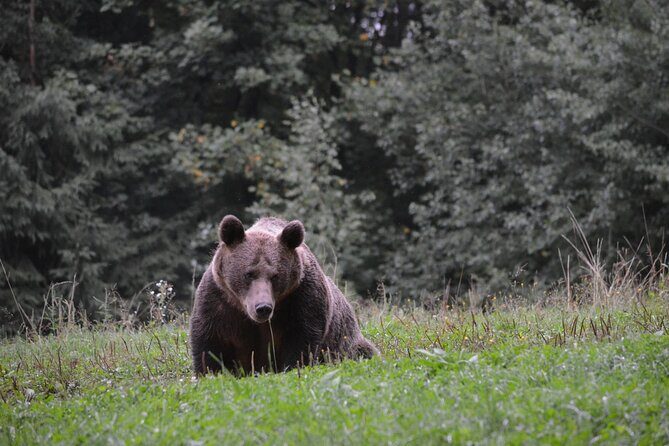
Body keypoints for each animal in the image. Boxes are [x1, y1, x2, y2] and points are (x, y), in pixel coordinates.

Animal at [189, 215, 379, 375]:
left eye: (275, 276)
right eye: (248, 274)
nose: (263, 308)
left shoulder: (302, 298)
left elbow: (301, 340)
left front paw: (293, 367)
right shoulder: (219, 301)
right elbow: (209, 343)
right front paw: (211, 372)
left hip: (347, 342)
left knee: (363, 352)